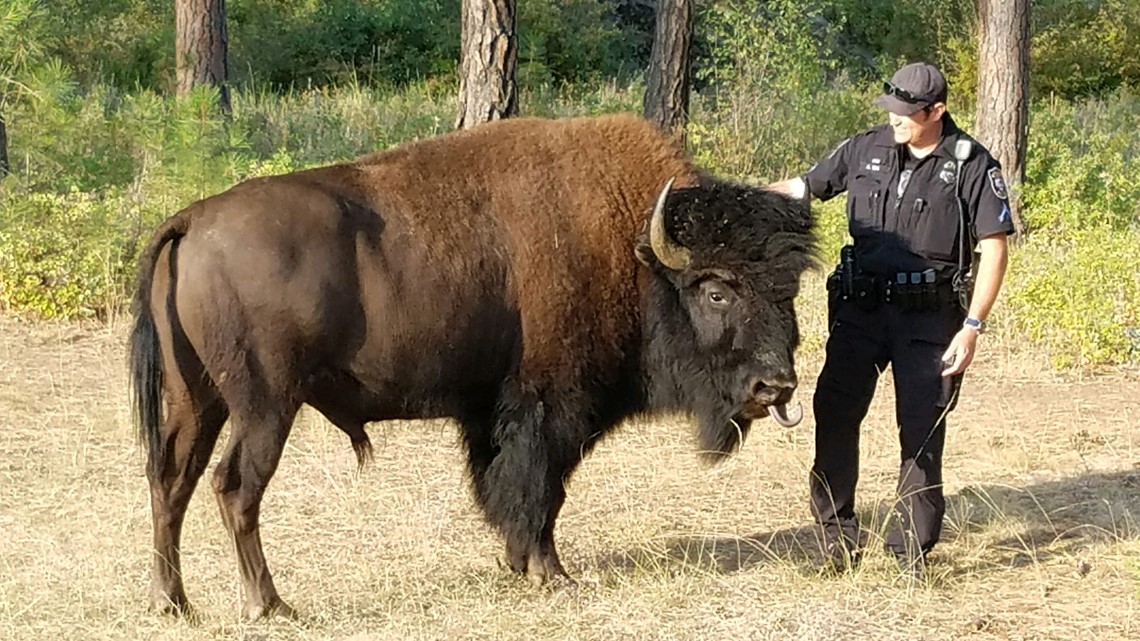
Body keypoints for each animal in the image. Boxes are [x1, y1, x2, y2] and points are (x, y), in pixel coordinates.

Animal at [129, 113, 817, 619]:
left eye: (789, 287)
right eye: (716, 290)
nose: (774, 386)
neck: (633, 248)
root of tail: (191, 220)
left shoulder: (491, 412)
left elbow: (510, 487)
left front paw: (520, 565)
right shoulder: (550, 409)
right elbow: (540, 490)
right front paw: (551, 574)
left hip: (198, 401)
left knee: (171, 482)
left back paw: (174, 603)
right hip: (265, 406)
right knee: (234, 487)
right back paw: (268, 606)